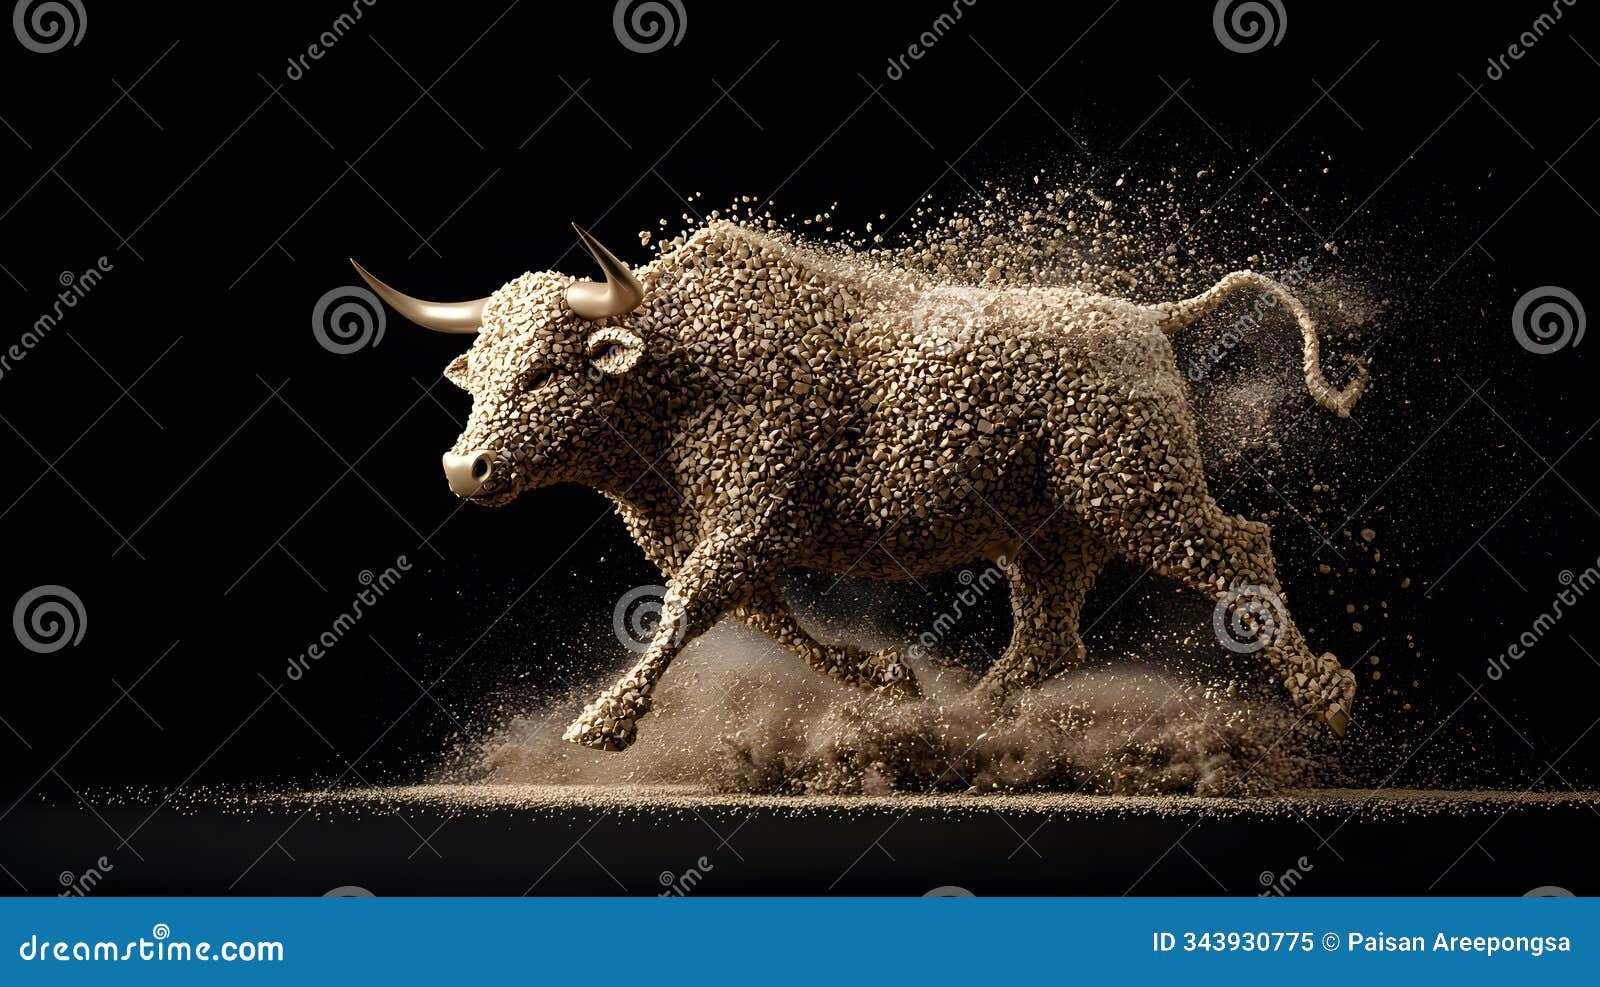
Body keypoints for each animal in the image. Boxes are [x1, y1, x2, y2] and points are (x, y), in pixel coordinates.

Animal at [353, 220, 1368, 752]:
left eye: (545, 373)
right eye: (480, 376)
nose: (463, 467)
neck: (681, 372)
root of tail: (1149, 318)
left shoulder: (749, 517)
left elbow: (687, 610)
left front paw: (602, 721)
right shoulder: (720, 534)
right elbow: (766, 619)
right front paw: (890, 679)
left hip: (1132, 487)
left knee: (1235, 549)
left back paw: (1325, 694)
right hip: (1051, 531)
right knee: (1050, 636)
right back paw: (966, 725)